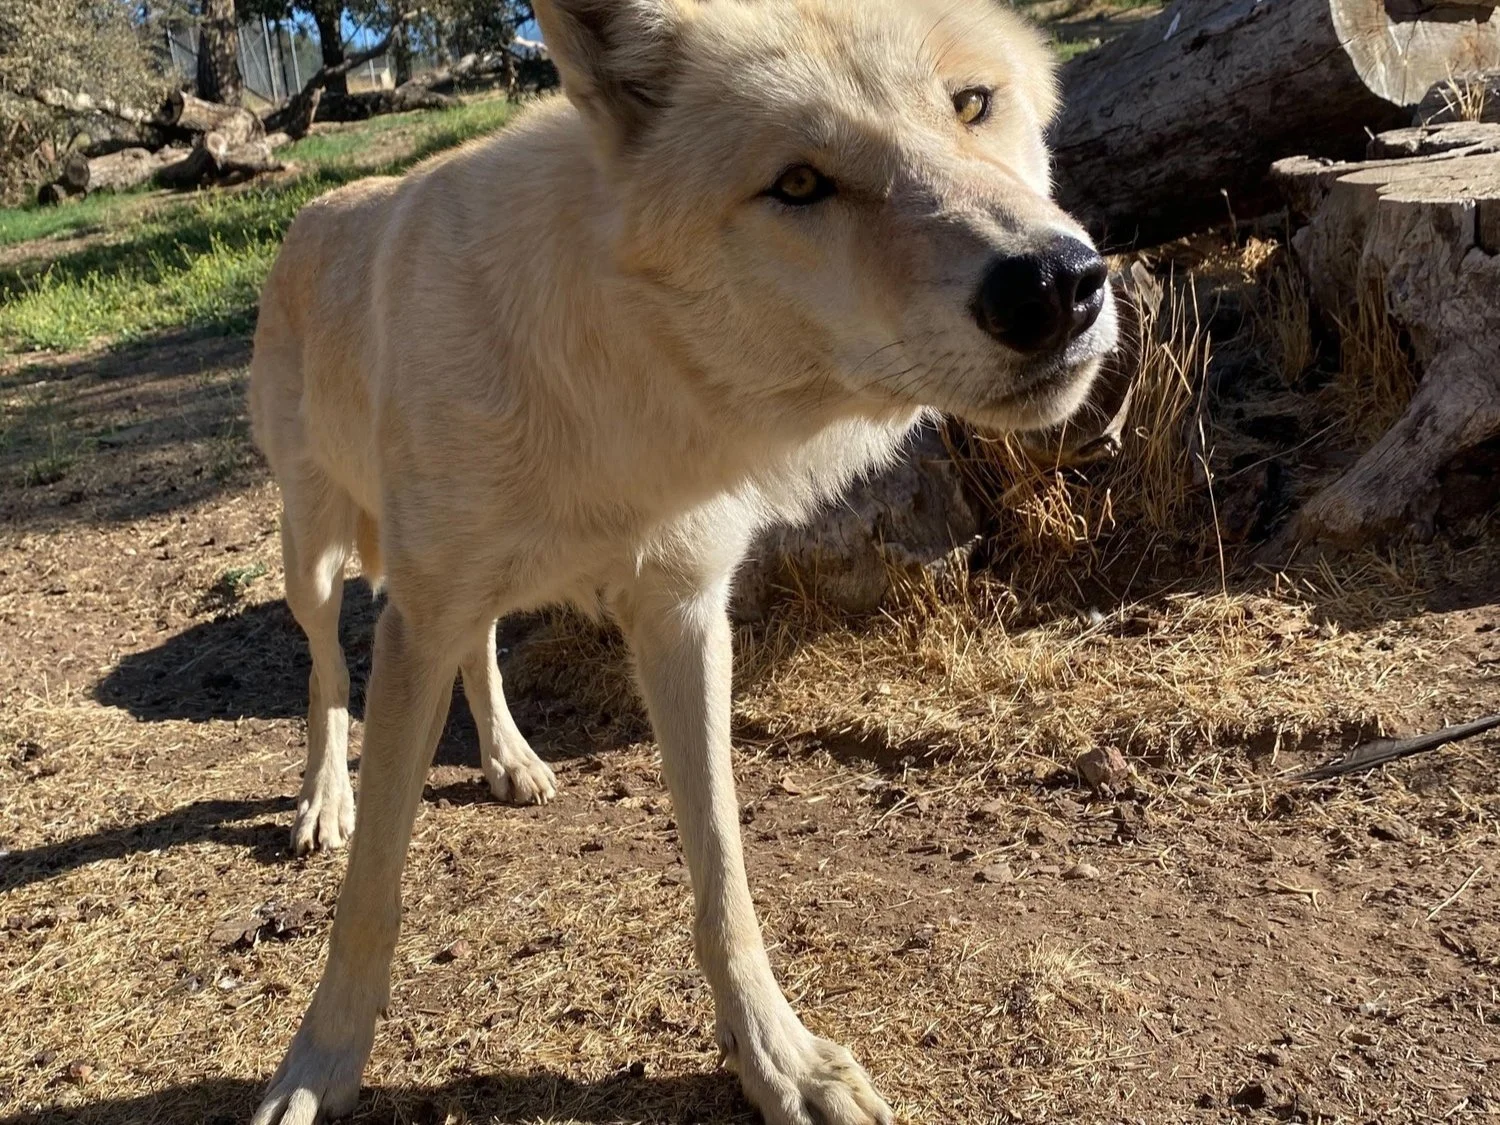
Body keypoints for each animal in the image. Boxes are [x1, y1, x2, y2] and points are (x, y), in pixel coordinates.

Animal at [247, 0, 1116, 1121]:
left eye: (972, 103)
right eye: (798, 183)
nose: (1053, 287)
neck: (629, 364)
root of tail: (311, 211)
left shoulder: (683, 615)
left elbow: (723, 876)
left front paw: (779, 1059)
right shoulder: (423, 616)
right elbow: (371, 898)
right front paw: (317, 1066)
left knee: (480, 649)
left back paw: (511, 760)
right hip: (316, 556)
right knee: (323, 667)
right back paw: (325, 800)